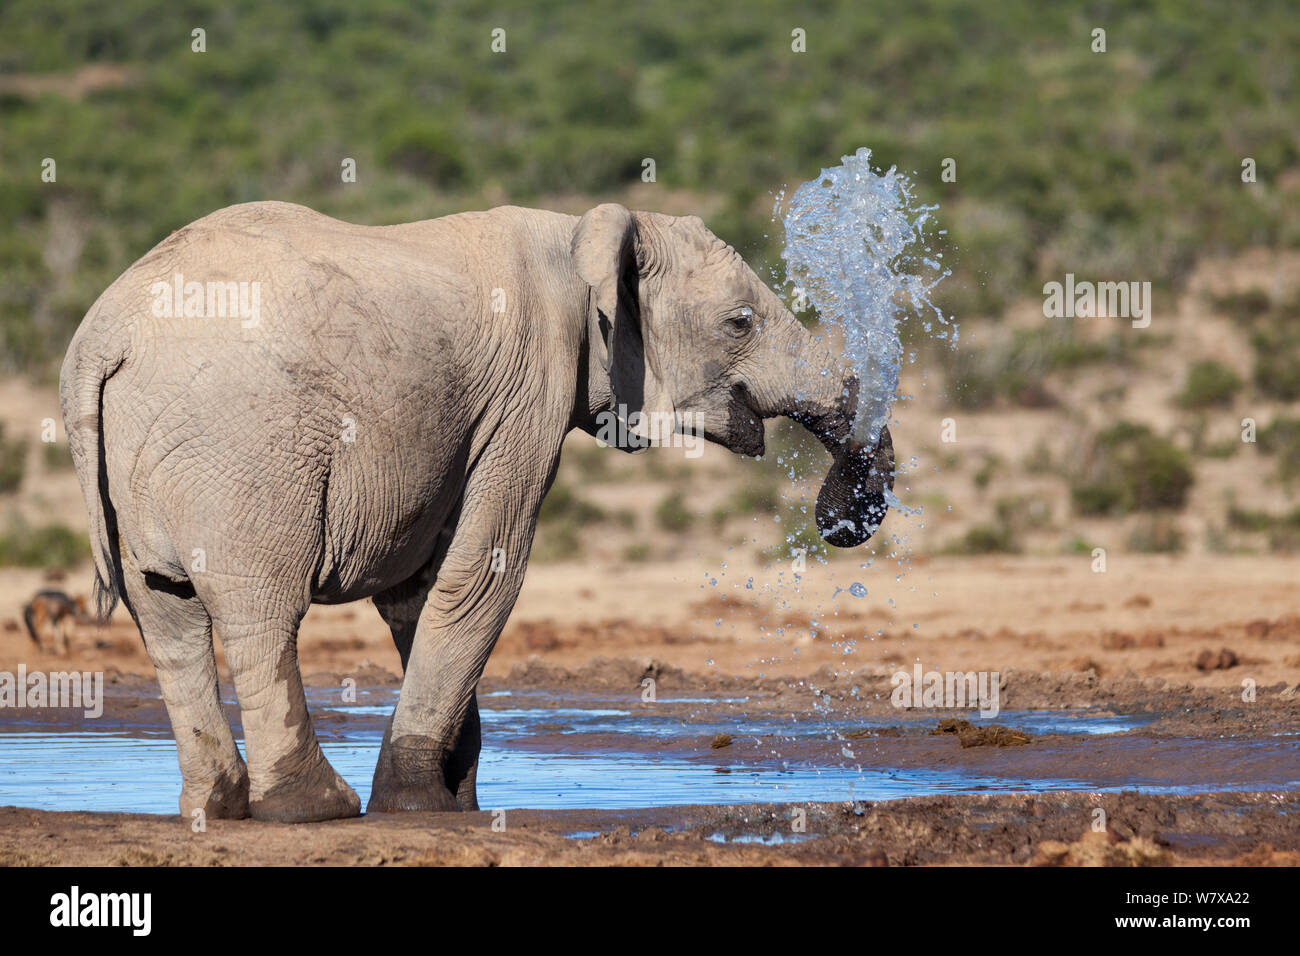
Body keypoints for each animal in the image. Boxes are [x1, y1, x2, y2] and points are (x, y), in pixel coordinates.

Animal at [60, 200, 894, 823]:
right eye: (741, 322)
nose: (837, 521)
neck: (579, 233)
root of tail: (99, 340)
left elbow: (419, 592)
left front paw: (455, 799)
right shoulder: (528, 395)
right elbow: (486, 575)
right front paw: (419, 806)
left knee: (166, 618)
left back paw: (215, 808)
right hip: (244, 447)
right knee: (260, 611)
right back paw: (312, 808)